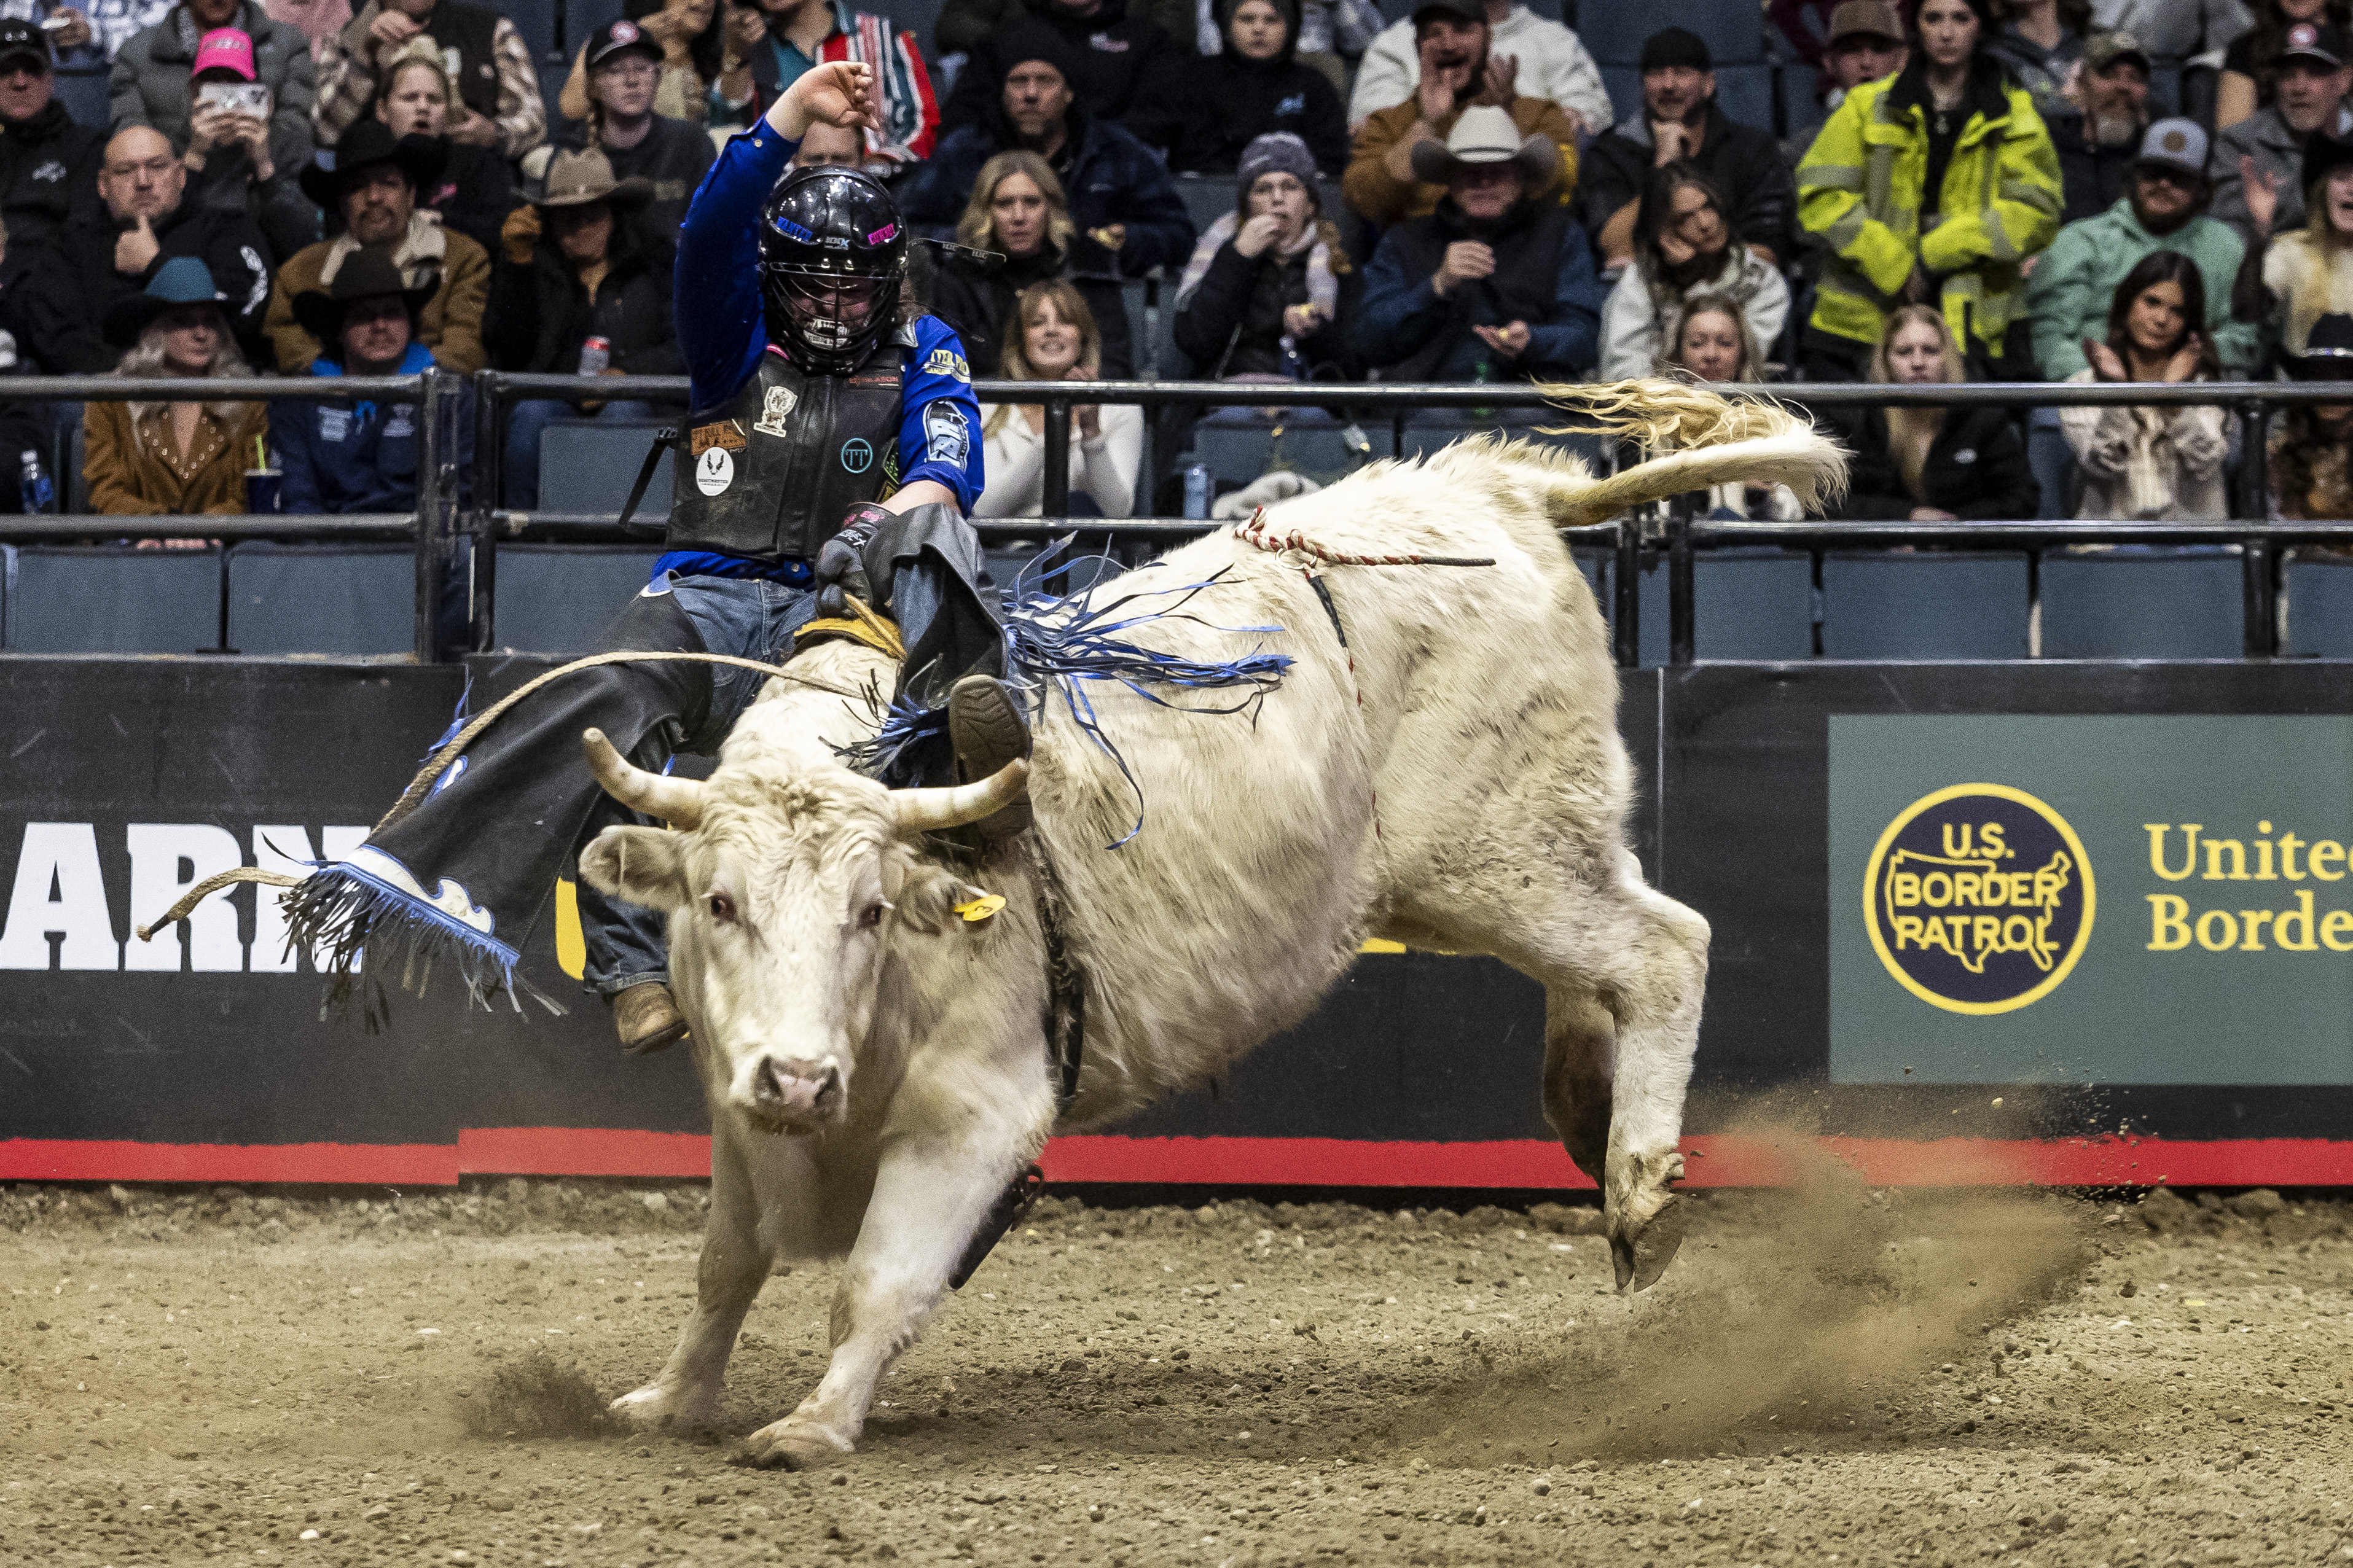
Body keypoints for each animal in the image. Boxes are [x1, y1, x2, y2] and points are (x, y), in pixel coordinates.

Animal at [575, 382, 1847, 1467]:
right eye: (718, 901)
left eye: (872, 907)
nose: (798, 1078)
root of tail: (1497, 486)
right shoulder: (735, 1101)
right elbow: (725, 1263)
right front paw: (670, 1397)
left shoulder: (977, 1111)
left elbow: (877, 1280)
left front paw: (814, 1422)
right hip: (1497, 859)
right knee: (1613, 941)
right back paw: (1588, 1108)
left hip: (1494, 858)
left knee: (1665, 946)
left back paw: (1639, 1193)